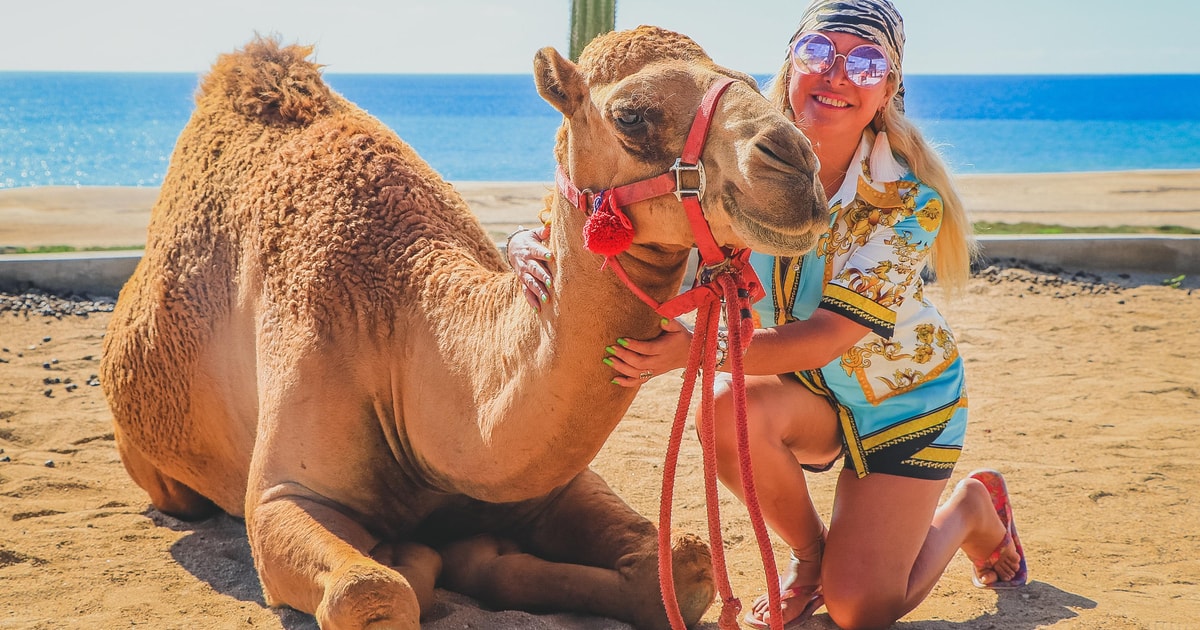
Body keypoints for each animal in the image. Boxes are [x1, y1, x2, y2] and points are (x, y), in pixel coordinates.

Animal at [100, 28, 827, 629]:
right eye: (630, 114)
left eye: (752, 79)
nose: (798, 161)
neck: (400, 332)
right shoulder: (284, 493)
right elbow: (373, 590)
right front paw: (419, 557)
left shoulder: (548, 482)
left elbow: (678, 566)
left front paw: (479, 554)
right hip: (155, 465)